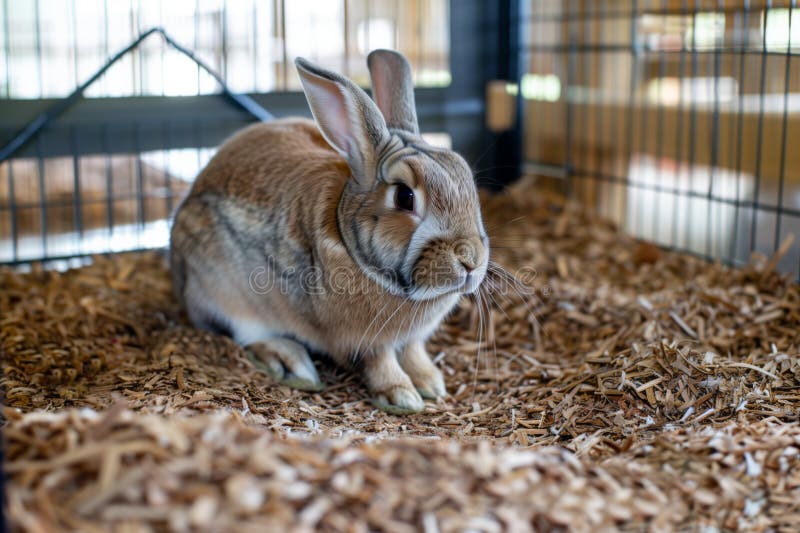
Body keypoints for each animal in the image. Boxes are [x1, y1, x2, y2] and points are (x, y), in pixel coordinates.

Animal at [170, 50, 489, 414]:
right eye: (405, 197)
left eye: (465, 177)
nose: (471, 261)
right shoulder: (365, 341)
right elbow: (381, 362)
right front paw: (402, 396)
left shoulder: (411, 340)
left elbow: (413, 352)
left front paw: (432, 384)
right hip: (226, 293)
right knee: (247, 335)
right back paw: (292, 363)